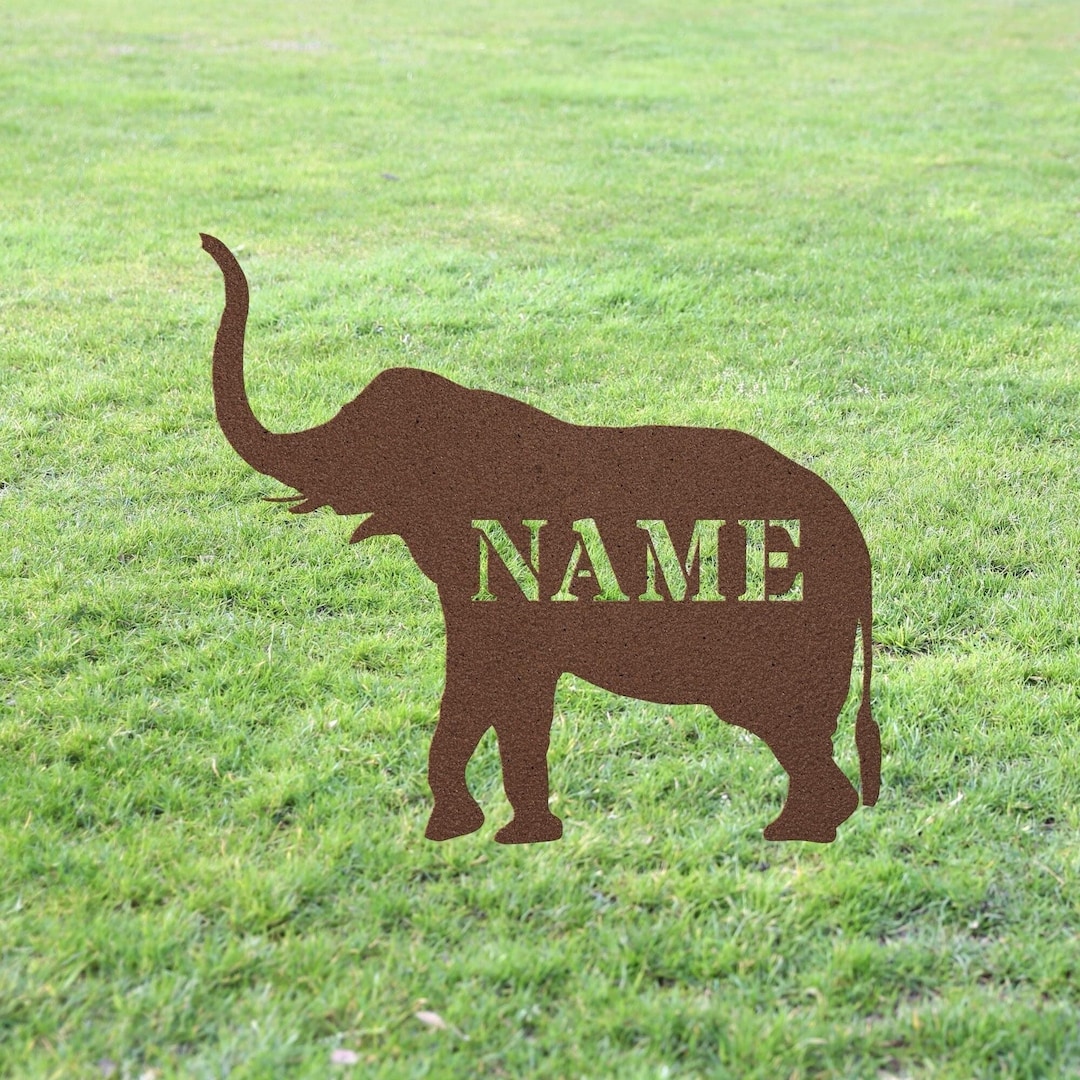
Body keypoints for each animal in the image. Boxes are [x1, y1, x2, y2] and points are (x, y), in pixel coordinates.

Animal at [201, 233, 881, 844]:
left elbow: (491, 690)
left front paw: (484, 834)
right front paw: (497, 832)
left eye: (364, 440)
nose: (206, 240)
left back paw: (794, 834)